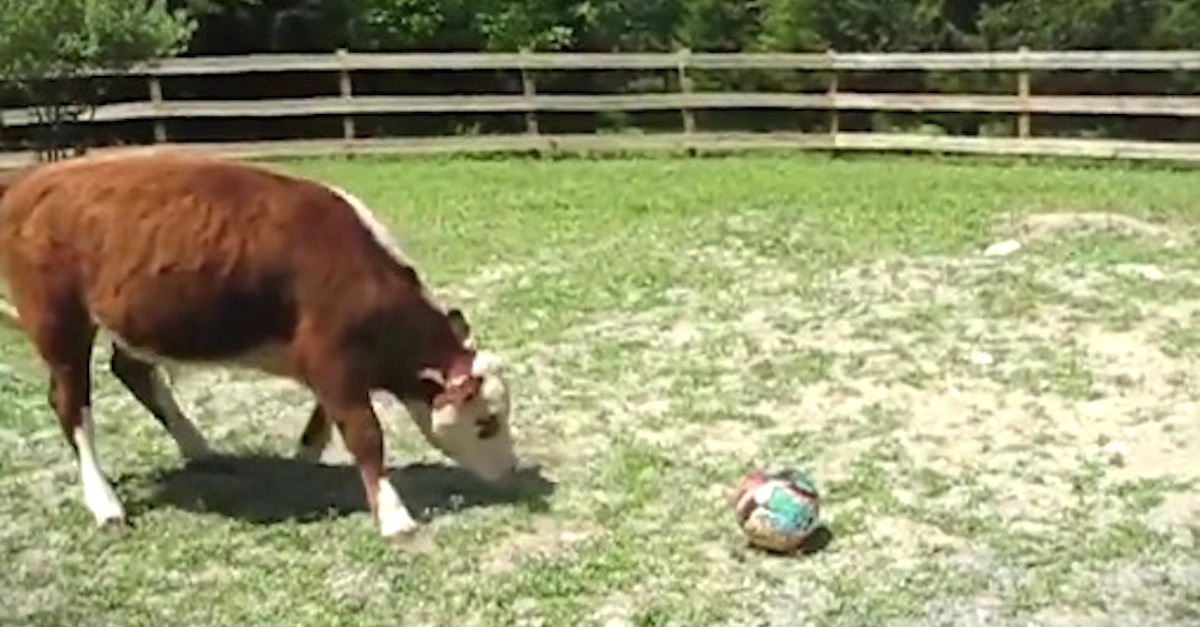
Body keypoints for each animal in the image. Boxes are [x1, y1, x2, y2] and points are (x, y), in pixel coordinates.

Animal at [0, 149, 520, 539]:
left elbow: (323, 421)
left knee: (133, 372)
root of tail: (30, 180)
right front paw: (395, 519)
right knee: (71, 404)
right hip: (59, 322)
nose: (511, 471)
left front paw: (302, 462)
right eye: (486, 423)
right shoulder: (333, 359)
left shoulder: (327, 364)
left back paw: (200, 448)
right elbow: (365, 434)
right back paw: (105, 503)